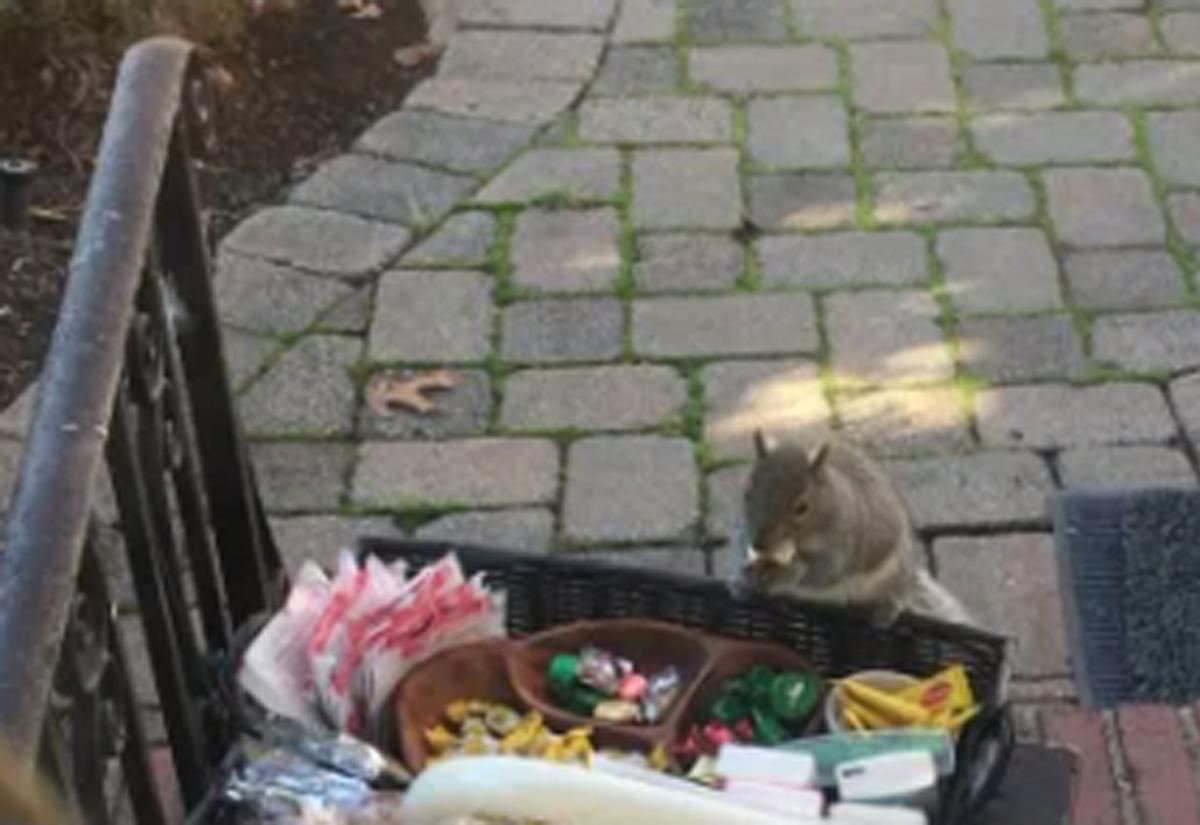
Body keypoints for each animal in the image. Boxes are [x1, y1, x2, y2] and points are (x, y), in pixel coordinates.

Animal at [733, 430, 973, 626]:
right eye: (747, 494)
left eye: (802, 507)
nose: (758, 543)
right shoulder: (743, 531)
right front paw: (744, 577)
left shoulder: (843, 543)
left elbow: (821, 572)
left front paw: (786, 573)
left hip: (893, 576)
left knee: (900, 593)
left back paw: (889, 608)